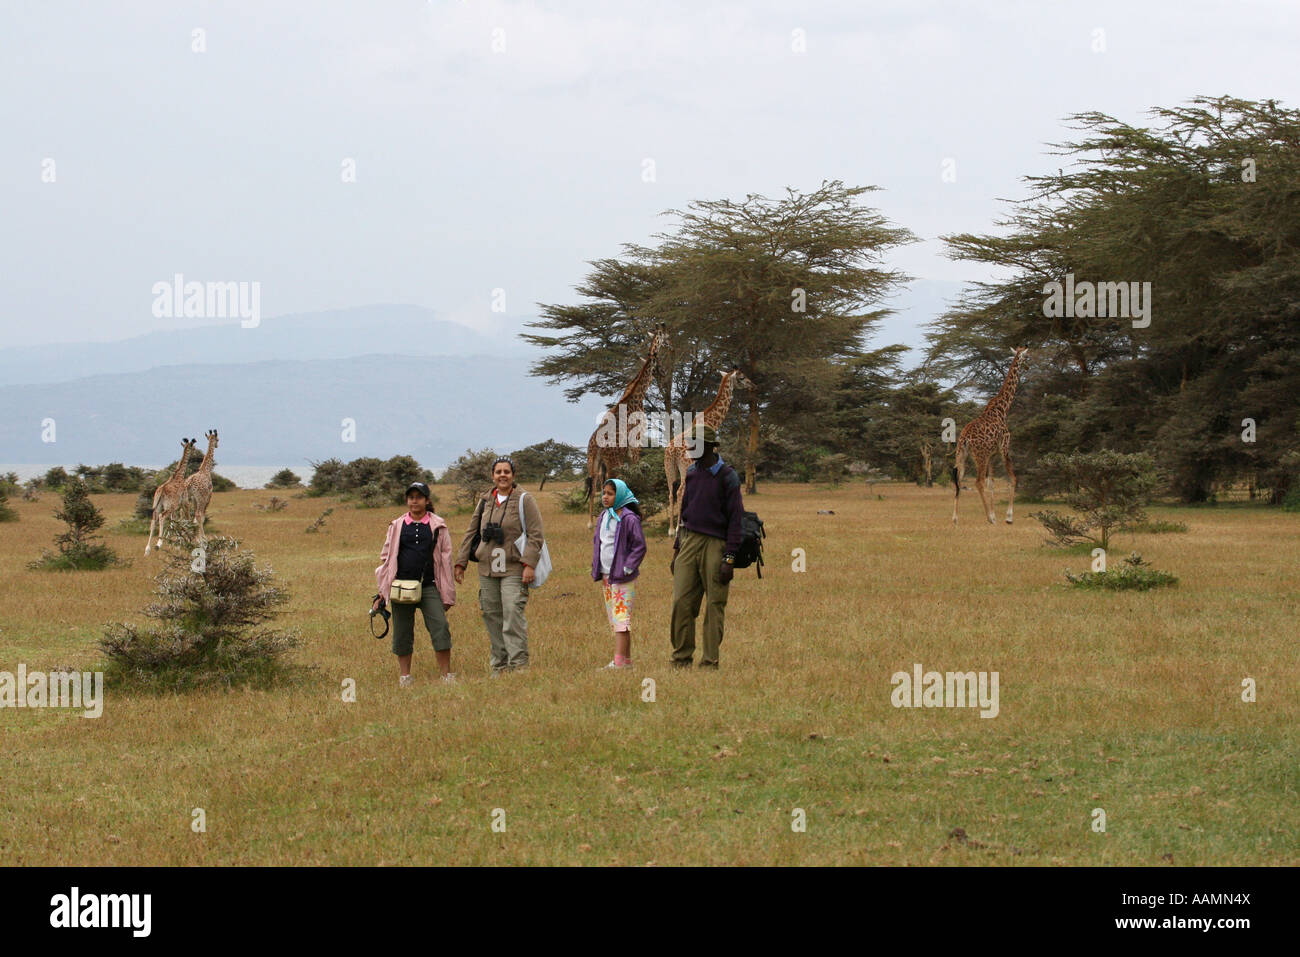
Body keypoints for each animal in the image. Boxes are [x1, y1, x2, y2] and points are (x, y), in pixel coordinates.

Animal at [584, 330, 665, 529]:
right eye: (659, 361)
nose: (663, 372)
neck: (636, 395)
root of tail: (595, 443)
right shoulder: (636, 441)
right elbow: (636, 473)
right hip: (612, 461)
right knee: (607, 482)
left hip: (593, 461)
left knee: (594, 483)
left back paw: (590, 522)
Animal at [663, 368, 753, 536]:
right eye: (742, 377)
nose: (753, 385)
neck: (712, 421)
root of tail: (672, 450)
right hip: (684, 466)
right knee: (680, 491)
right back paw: (679, 527)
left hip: (669, 467)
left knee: (671, 492)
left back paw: (671, 530)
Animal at [951, 347, 1029, 525]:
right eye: (1027, 356)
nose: (1028, 367)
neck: (1002, 409)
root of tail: (965, 439)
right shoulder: (1004, 448)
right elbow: (1013, 479)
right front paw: (1007, 517)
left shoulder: (992, 455)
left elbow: (992, 483)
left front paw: (995, 515)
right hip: (980, 456)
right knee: (978, 482)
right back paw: (988, 518)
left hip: (962, 455)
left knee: (959, 480)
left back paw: (955, 518)